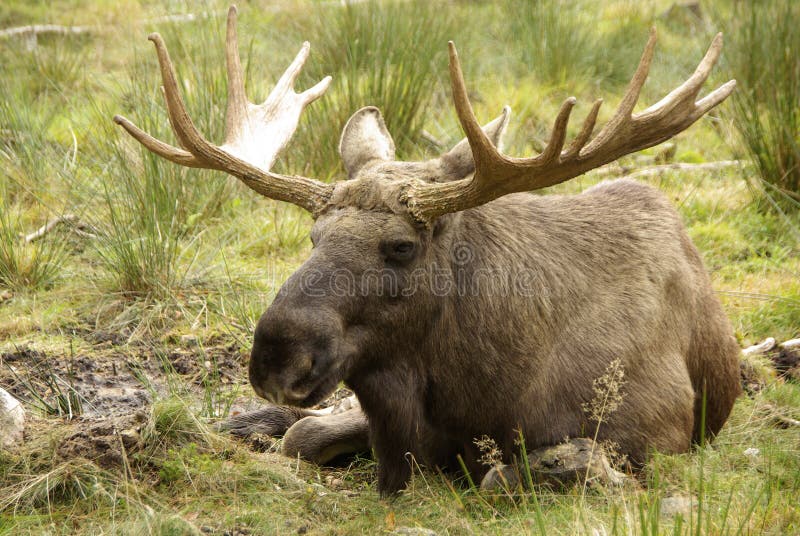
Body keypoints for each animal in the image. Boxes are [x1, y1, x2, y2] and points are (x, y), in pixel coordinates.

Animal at [114, 6, 742, 496]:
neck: (484, 385)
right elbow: (301, 433)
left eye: (401, 246)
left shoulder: (657, 429)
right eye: (314, 236)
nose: (277, 355)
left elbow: (511, 472)